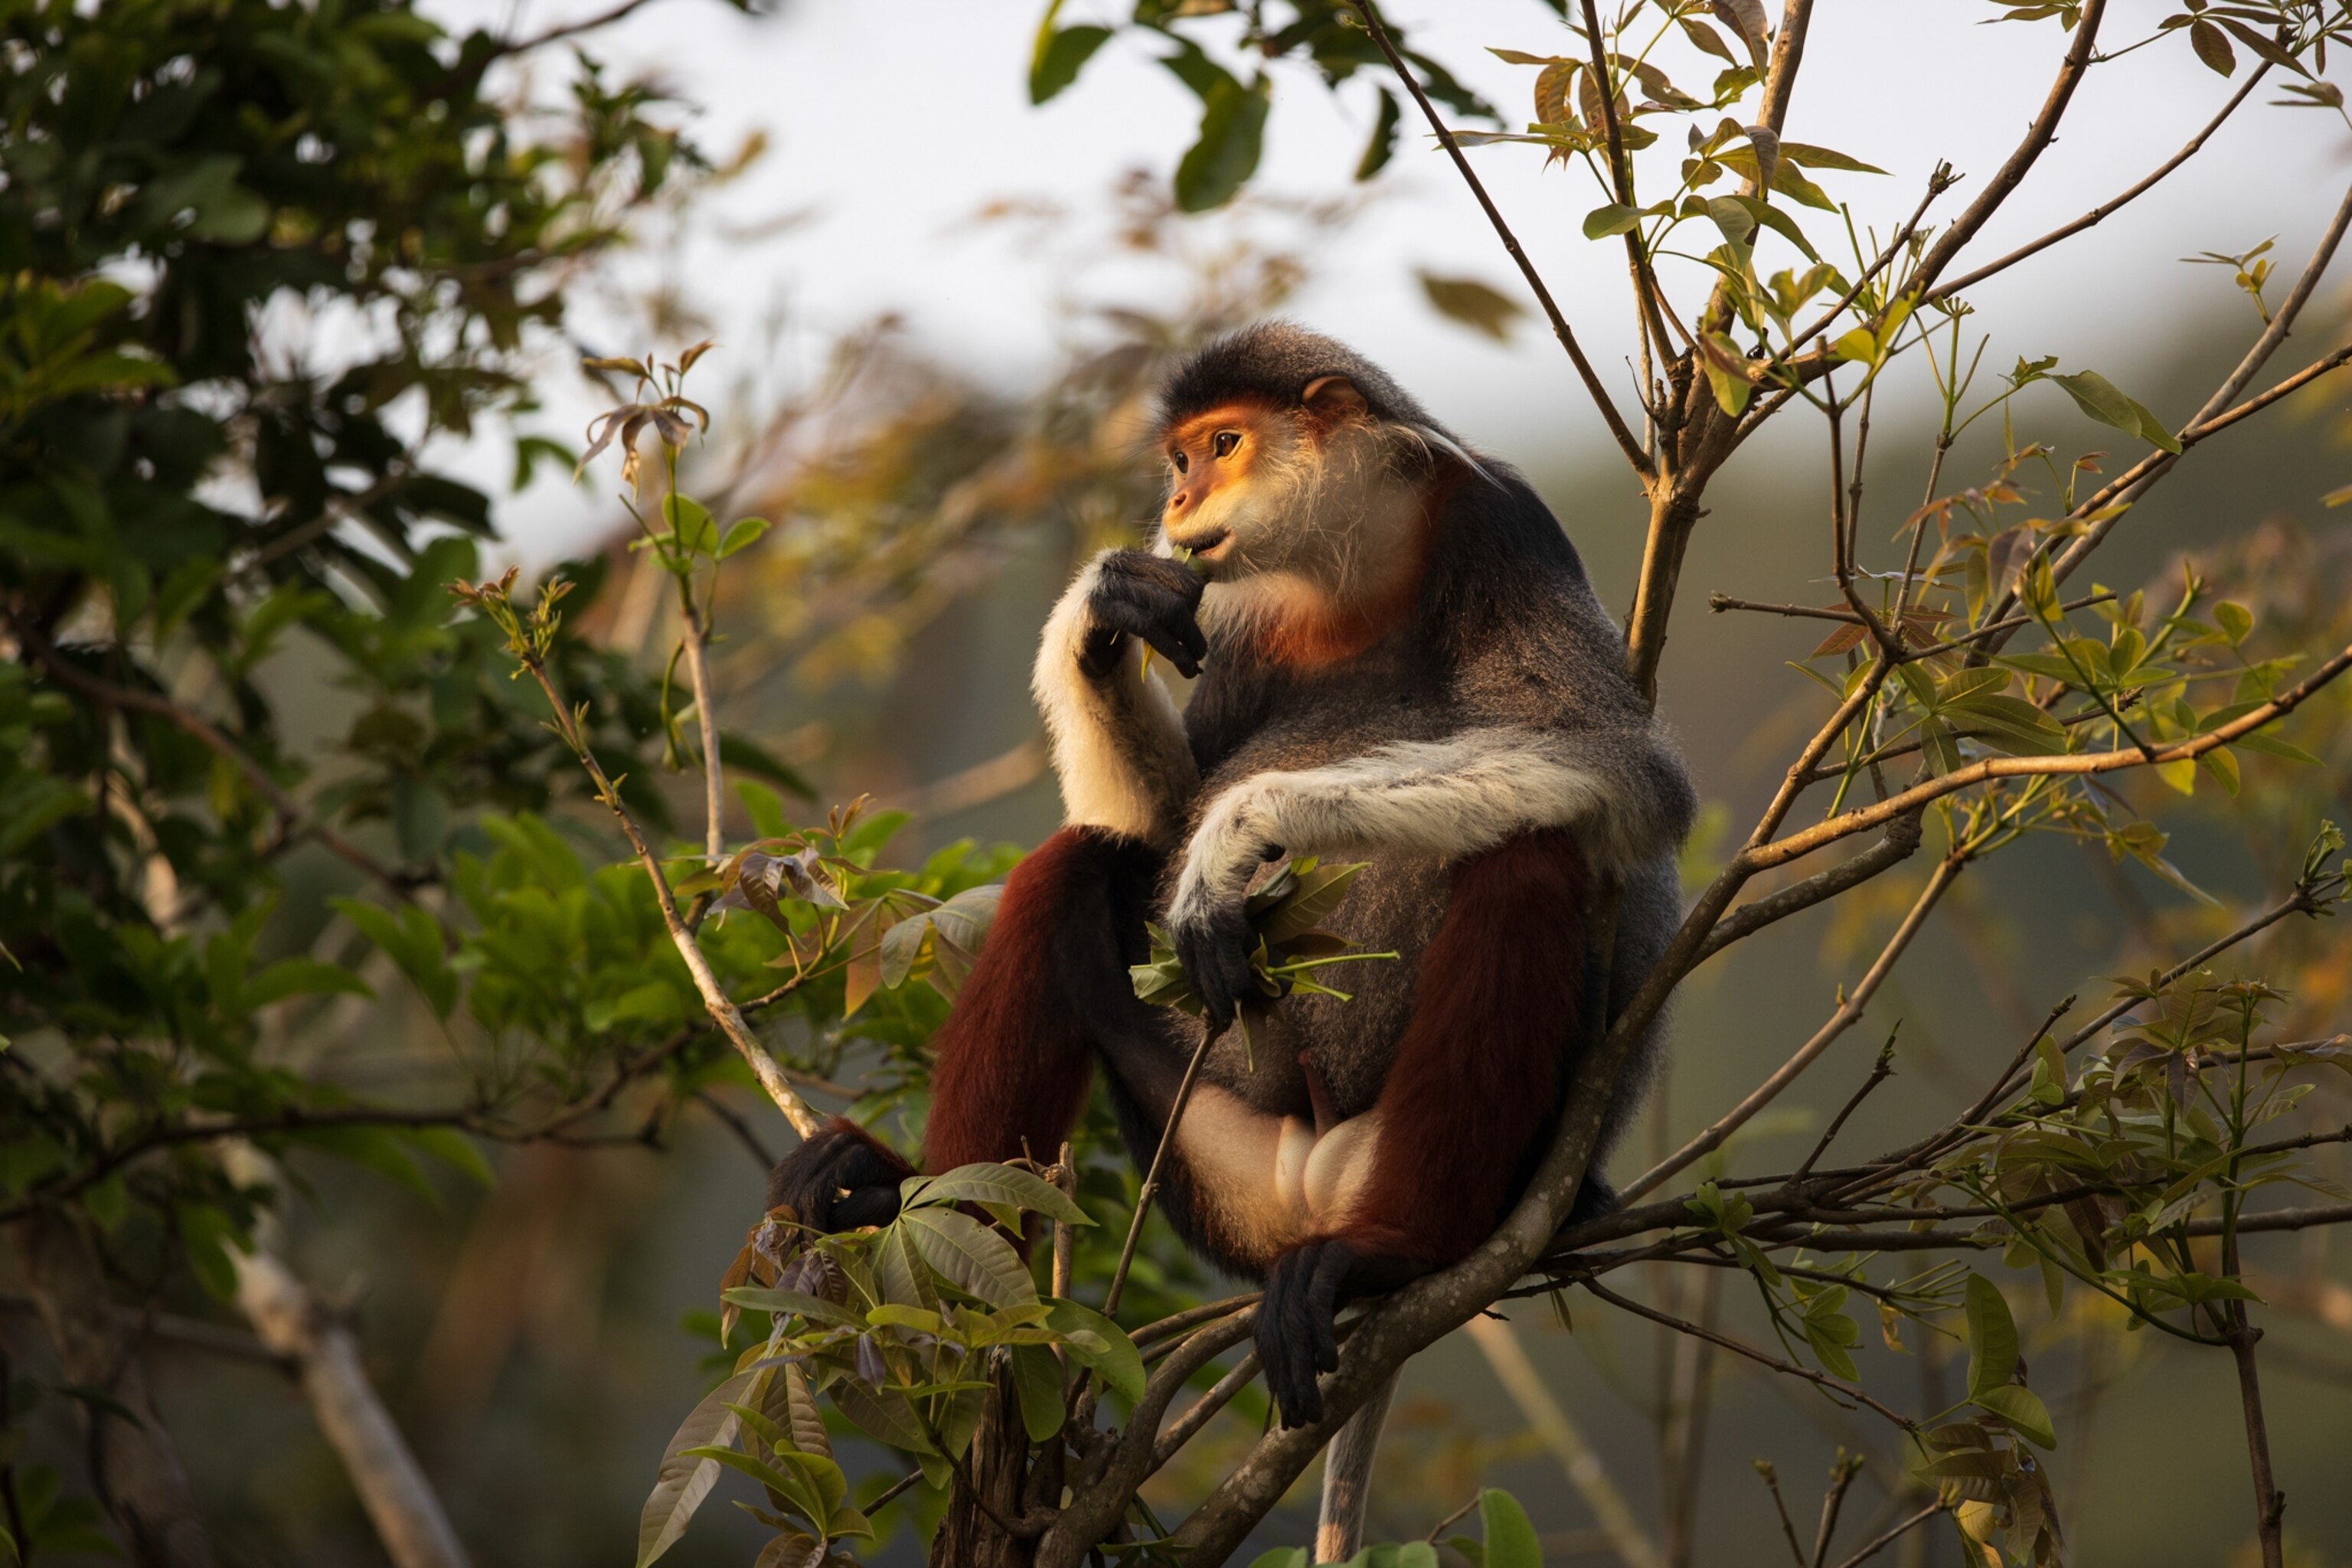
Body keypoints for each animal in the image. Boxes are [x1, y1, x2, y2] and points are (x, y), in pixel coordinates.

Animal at [767, 322, 1694, 1520]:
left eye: (1223, 444)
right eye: (1178, 459)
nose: (1182, 495)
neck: (1352, 574)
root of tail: (1314, 1186)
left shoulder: (1502, 524)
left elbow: (1624, 769)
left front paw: (1238, 834)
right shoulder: (1232, 605)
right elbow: (1154, 823)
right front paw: (1102, 612)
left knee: (1532, 854)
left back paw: (1387, 1254)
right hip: (1214, 1148)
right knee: (1079, 862)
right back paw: (917, 1221)